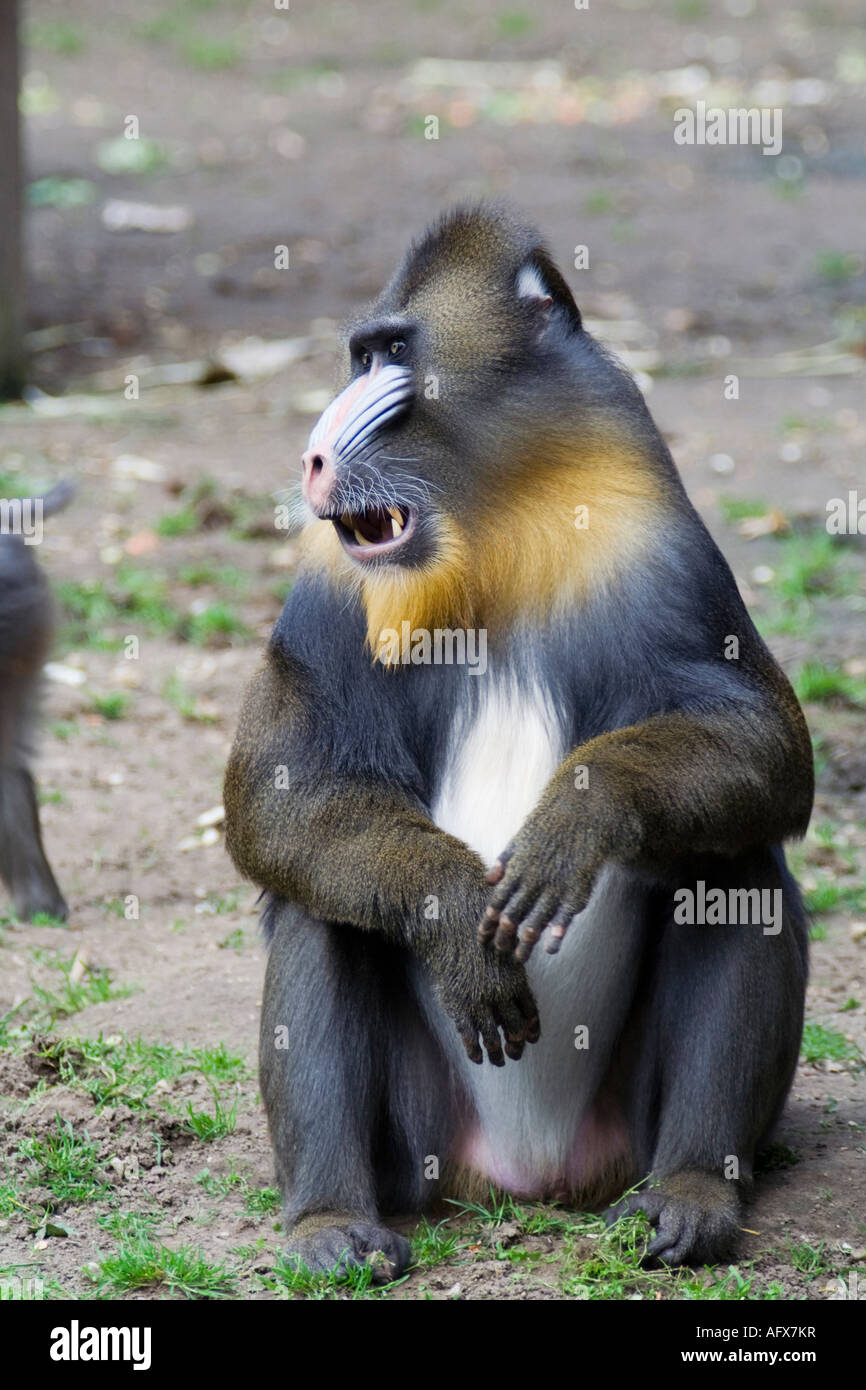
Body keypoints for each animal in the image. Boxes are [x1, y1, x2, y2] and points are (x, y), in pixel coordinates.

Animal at [224, 205, 813, 1281]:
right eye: (360, 355)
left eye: (395, 356)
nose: (317, 461)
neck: (490, 525)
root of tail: (527, 1177)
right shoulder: (329, 588)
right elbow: (281, 791)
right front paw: (457, 907)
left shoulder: (657, 546)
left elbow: (764, 742)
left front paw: (577, 819)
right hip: (416, 1135)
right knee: (321, 903)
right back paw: (331, 1223)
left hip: (626, 1127)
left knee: (736, 859)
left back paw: (691, 1196)